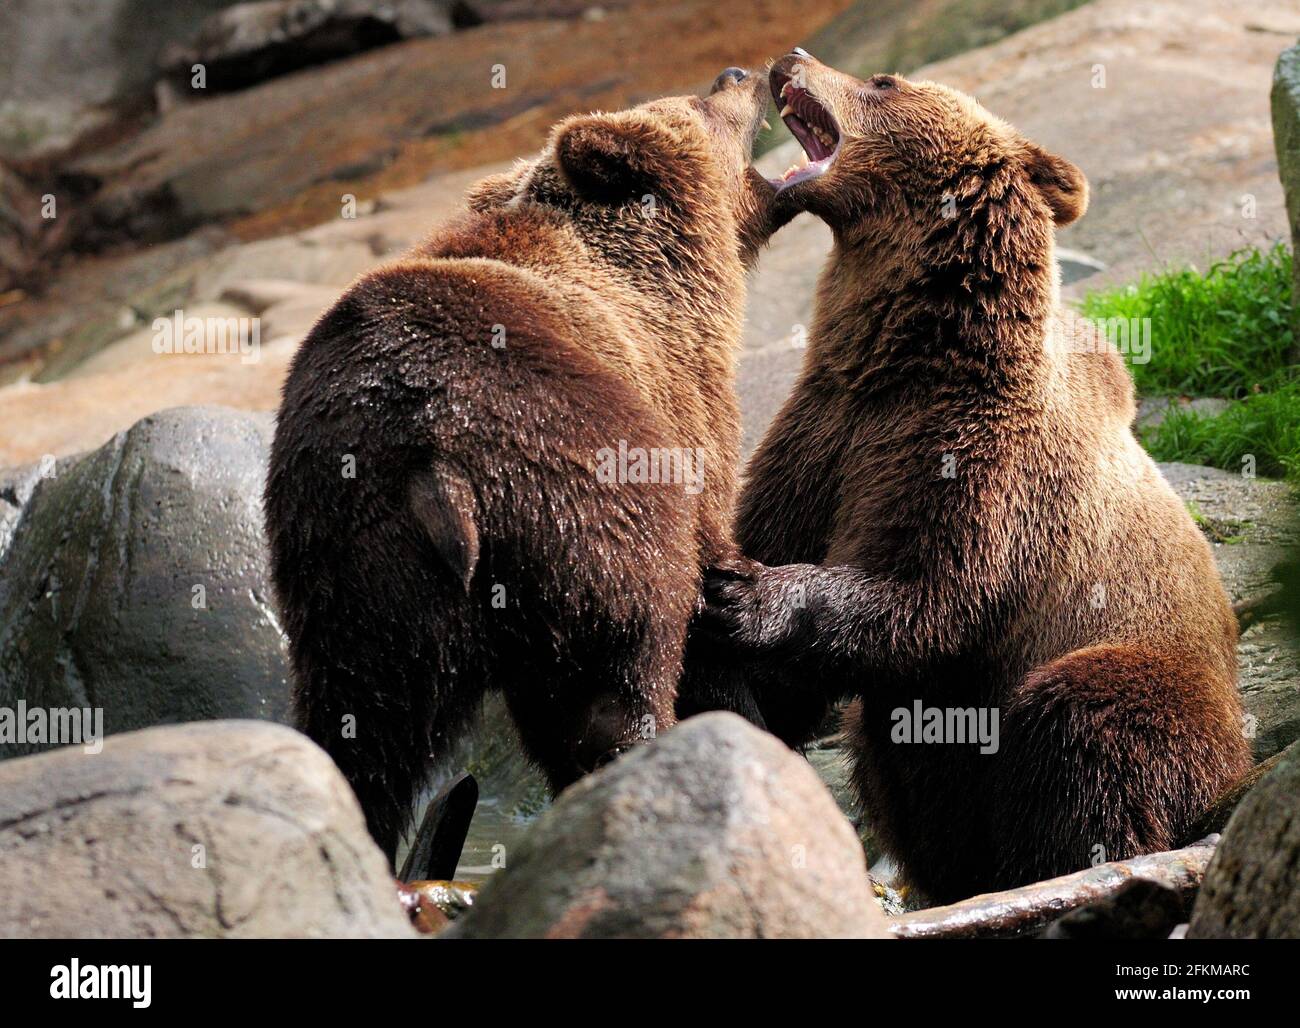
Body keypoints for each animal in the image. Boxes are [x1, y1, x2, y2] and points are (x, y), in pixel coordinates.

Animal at [265, 67, 774, 861]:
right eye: (697, 105)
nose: (741, 73)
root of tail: (435, 463)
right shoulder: (682, 404)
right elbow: (713, 533)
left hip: (353, 563)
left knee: (364, 727)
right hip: (581, 499)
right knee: (619, 670)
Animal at [694, 51, 1252, 903]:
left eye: (884, 82)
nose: (790, 59)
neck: (911, 355)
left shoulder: (982, 460)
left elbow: (935, 589)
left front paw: (749, 593)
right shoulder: (827, 432)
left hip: (1156, 681)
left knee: (1084, 726)